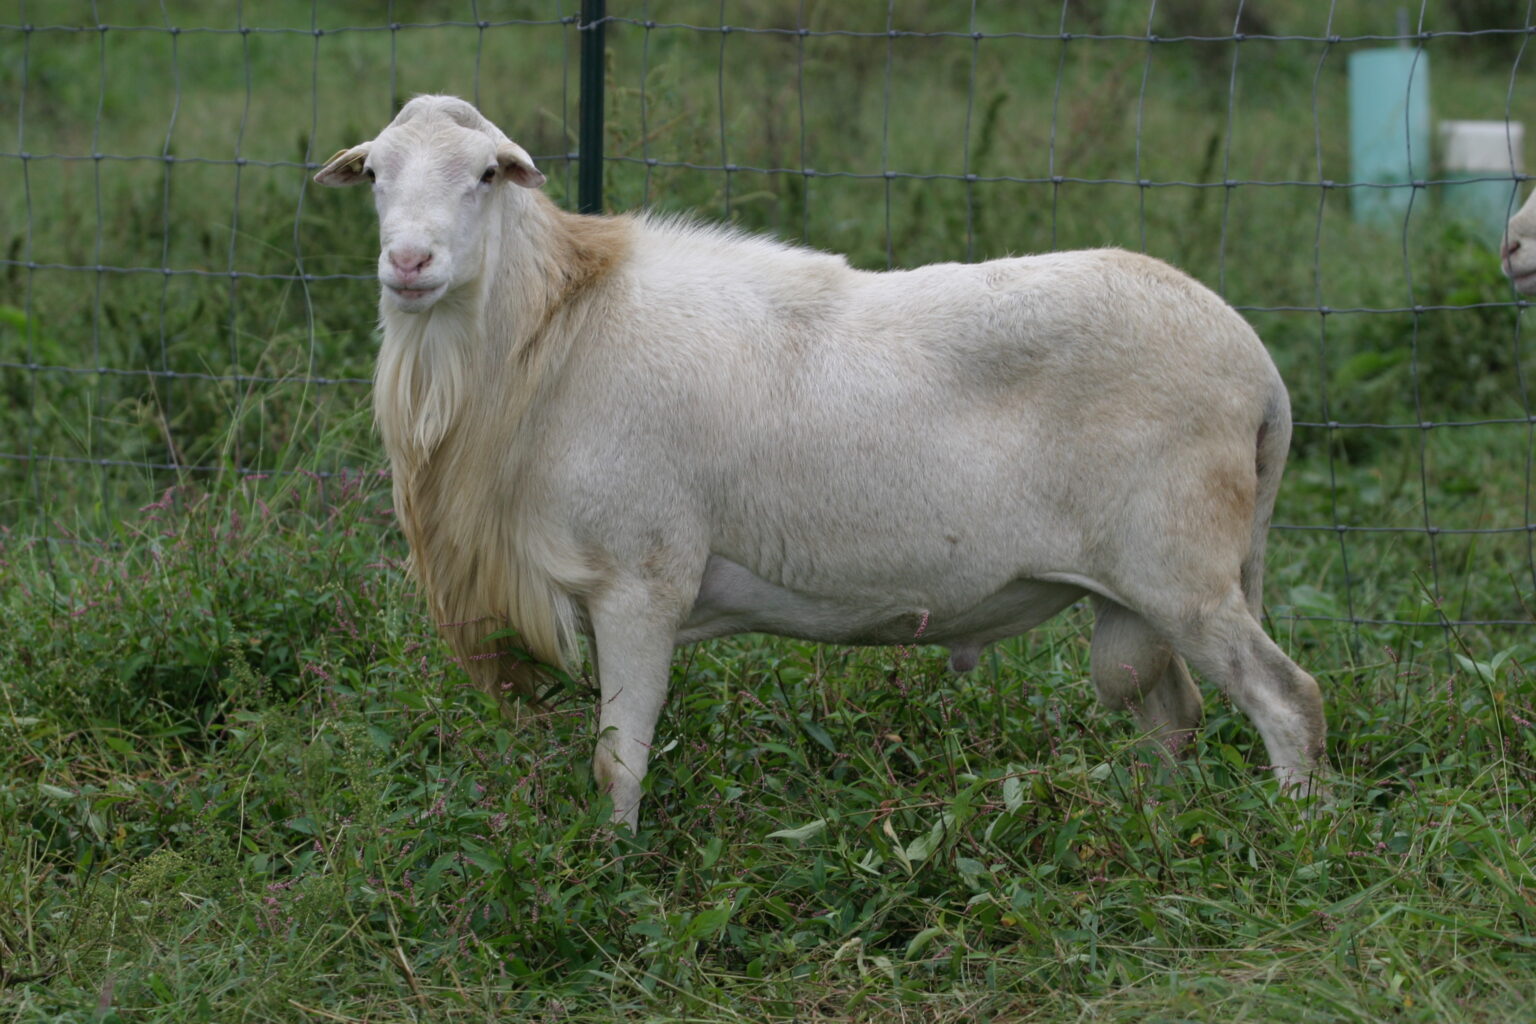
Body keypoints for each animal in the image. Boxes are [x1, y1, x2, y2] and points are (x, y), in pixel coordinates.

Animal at [316, 95, 1326, 831]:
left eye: (487, 174)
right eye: (375, 175)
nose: (410, 263)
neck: (550, 336)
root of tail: (1263, 372)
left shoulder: (643, 579)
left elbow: (616, 761)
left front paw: (612, 877)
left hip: (1183, 570)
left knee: (1289, 700)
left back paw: (1296, 840)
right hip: (1136, 595)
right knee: (1172, 715)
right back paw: (1159, 830)